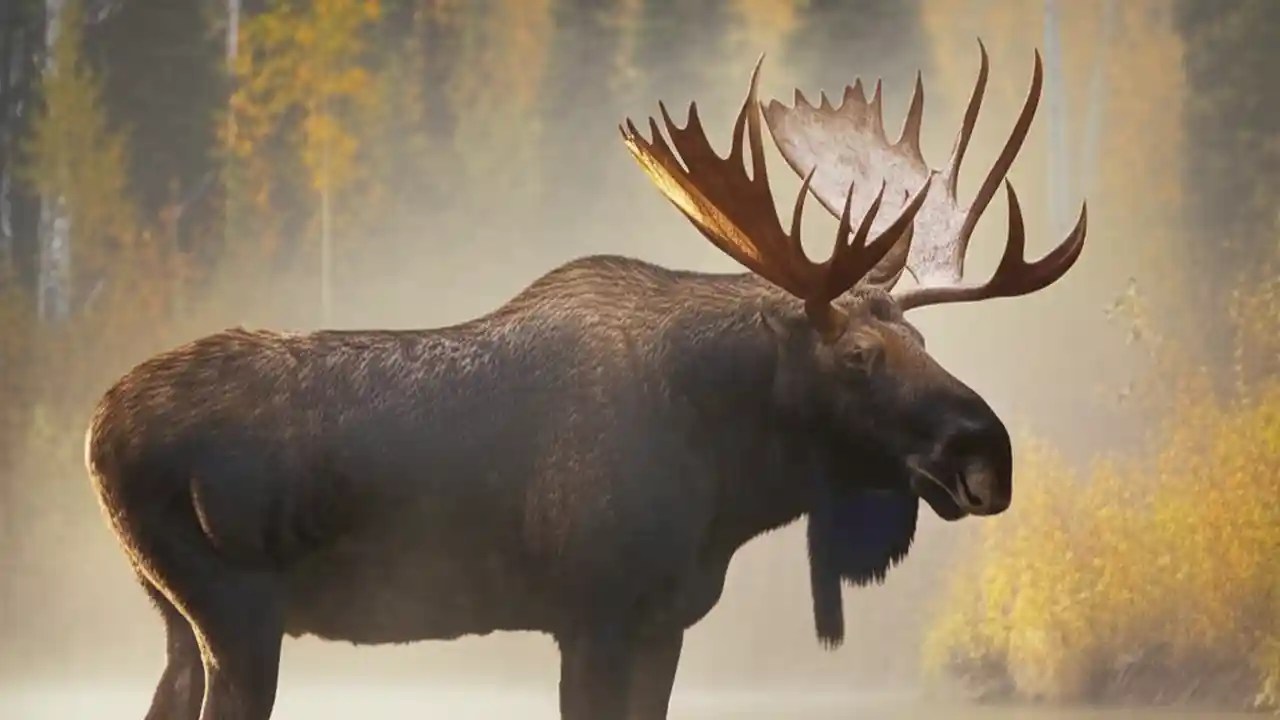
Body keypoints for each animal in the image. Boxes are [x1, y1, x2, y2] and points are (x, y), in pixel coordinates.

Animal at [85, 43, 1085, 720]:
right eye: (858, 357)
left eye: (922, 334)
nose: (986, 454)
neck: (728, 484)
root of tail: (97, 426)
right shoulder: (591, 612)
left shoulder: (664, 620)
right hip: (235, 613)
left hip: (174, 614)